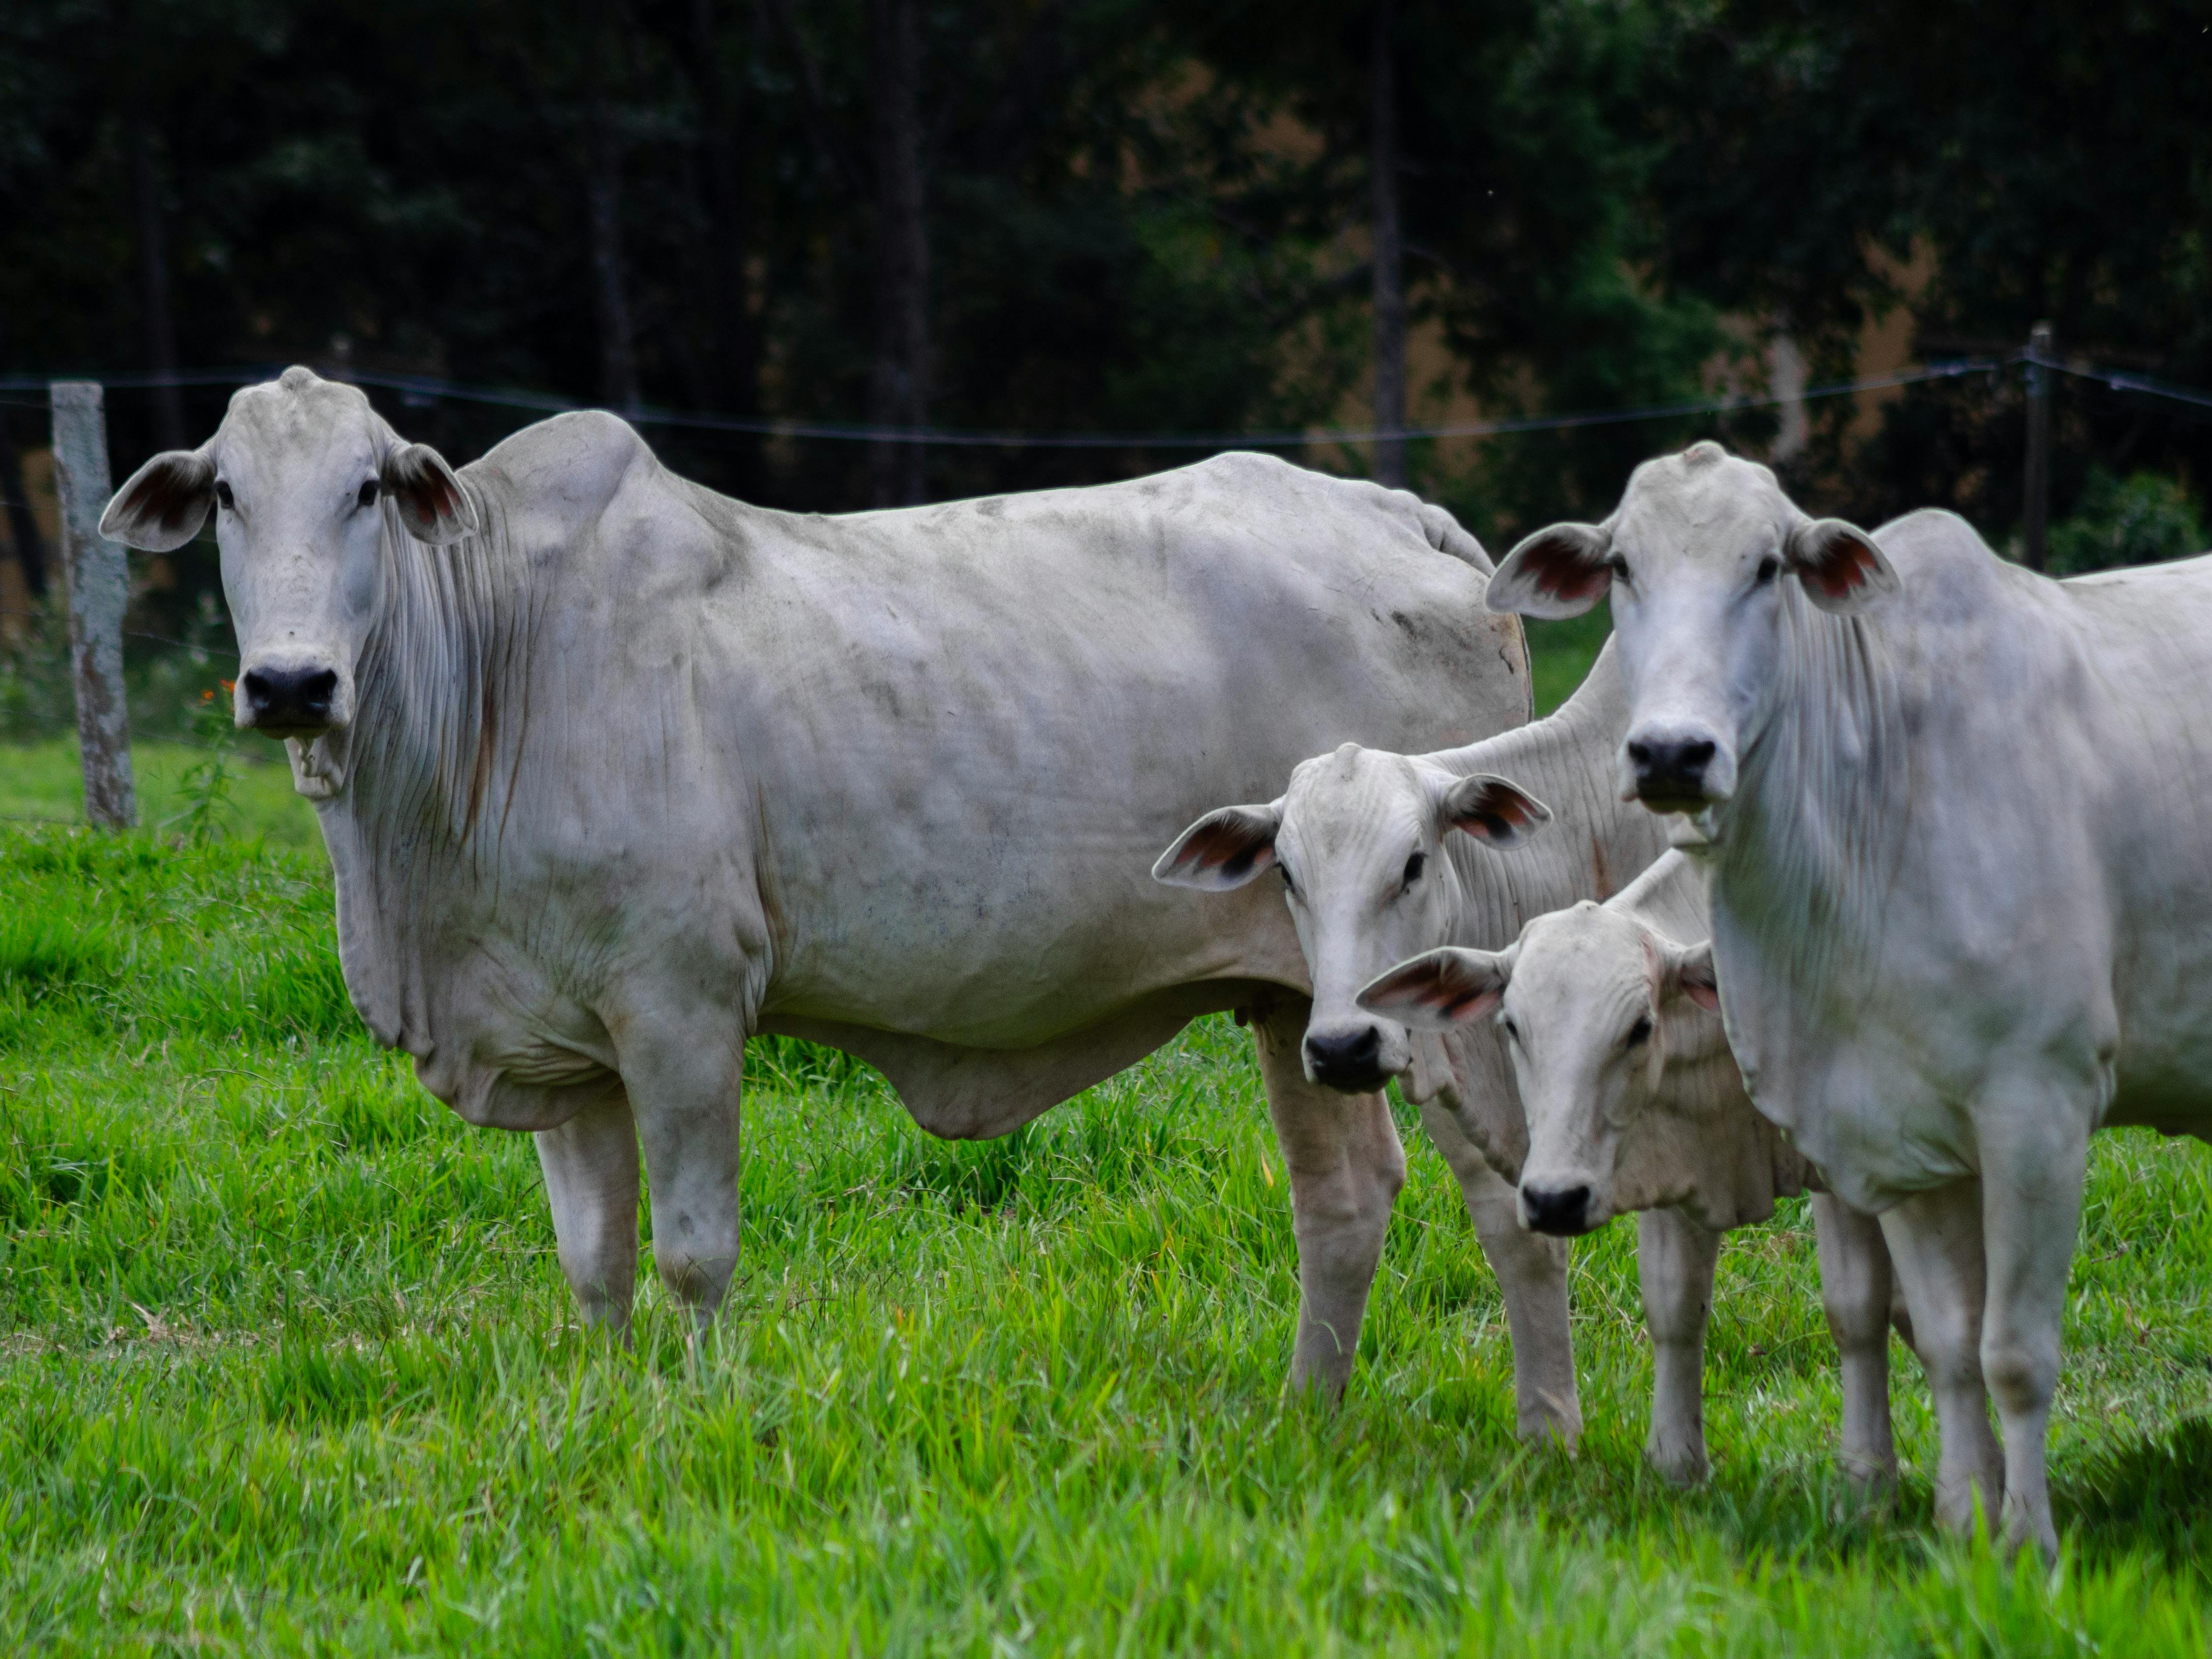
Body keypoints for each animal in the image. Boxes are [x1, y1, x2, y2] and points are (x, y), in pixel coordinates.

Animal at [98, 366, 1563, 1422]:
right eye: (225, 495)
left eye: (363, 490)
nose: (292, 681)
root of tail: (1400, 517)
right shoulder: (560, 1047)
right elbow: (594, 1265)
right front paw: (613, 1409)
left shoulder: (680, 1004)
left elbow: (693, 1251)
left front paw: (702, 1409)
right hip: (1290, 1005)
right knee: (1343, 1200)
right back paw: (1308, 1410)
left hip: (1444, 1003)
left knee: (1504, 1202)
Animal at [1358, 847, 1909, 1486]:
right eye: (1512, 1026)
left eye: (1641, 1027)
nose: (1554, 1199)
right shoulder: (1679, 1163)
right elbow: (1675, 1302)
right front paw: (1676, 1465)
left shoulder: (1849, 1167)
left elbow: (1858, 1308)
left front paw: (1868, 1478)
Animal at [1483, 437, 2212, 1556]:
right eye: (1620, 568)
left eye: (1766, 568)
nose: (1670, 752)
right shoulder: (1893, 1134)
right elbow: (1948, 1340)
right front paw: (1962, 1520)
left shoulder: (2036, 1110)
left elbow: (2013, 1351)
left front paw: (2026, 1543)